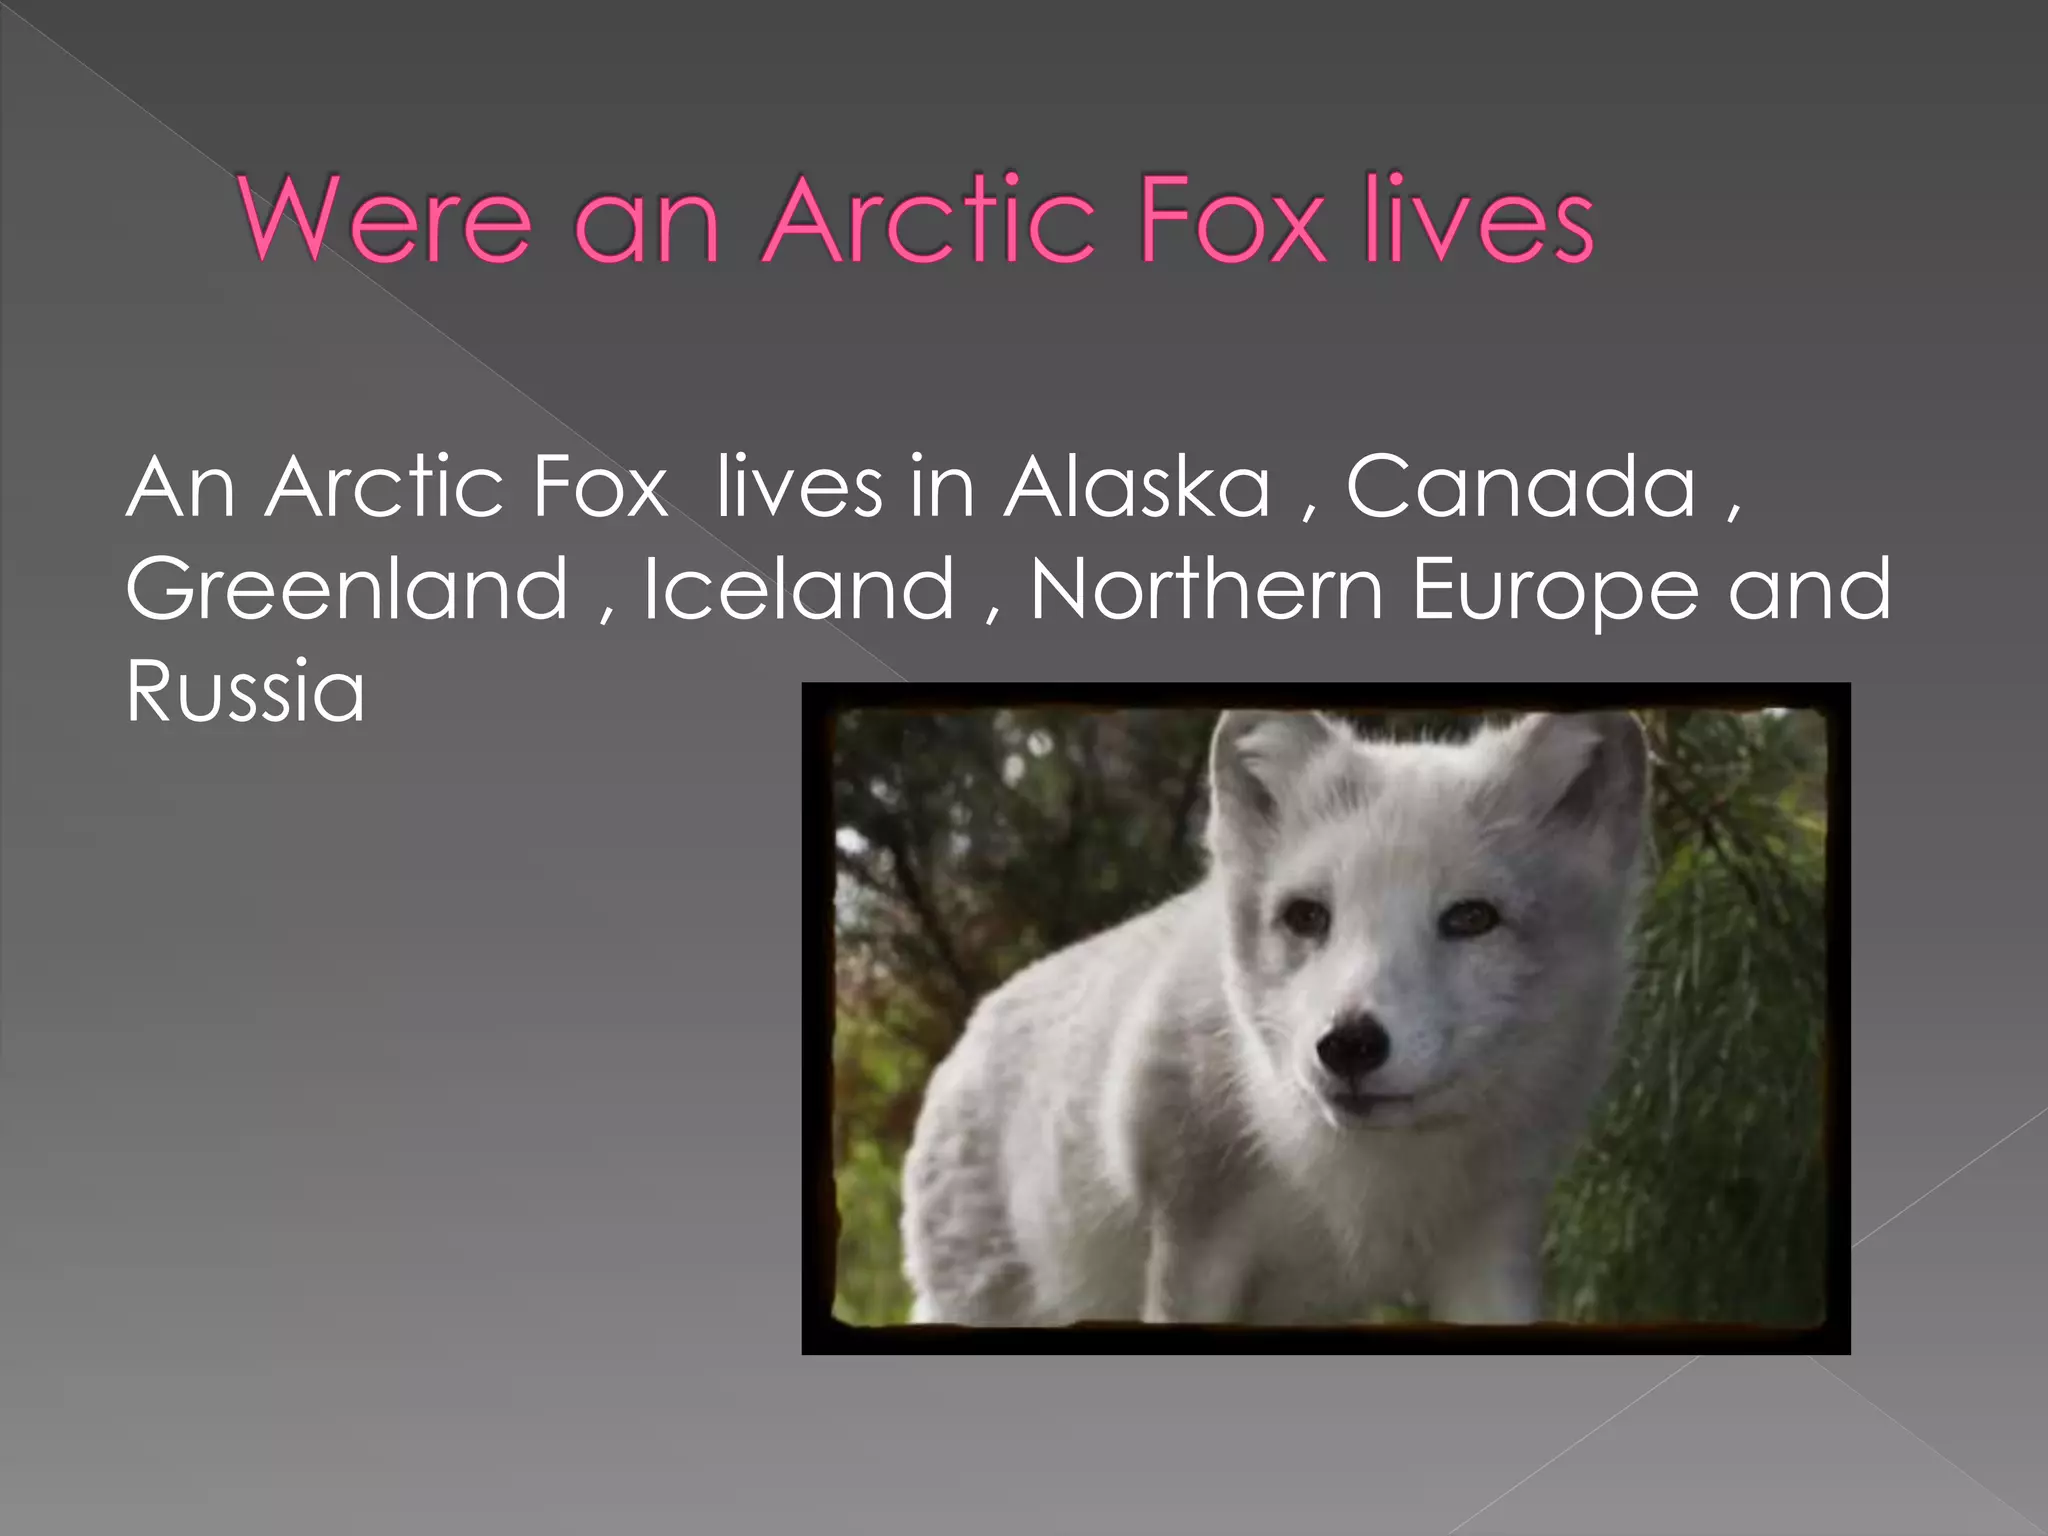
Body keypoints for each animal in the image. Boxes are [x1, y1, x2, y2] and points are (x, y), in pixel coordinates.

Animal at [897, 707, 1651, 1326]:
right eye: (1307, 917)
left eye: (1471, 918)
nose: (1348, 1045)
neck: (1365, 1187)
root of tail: (965, 1038)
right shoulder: (1191, 1241)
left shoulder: (1493, 1241)